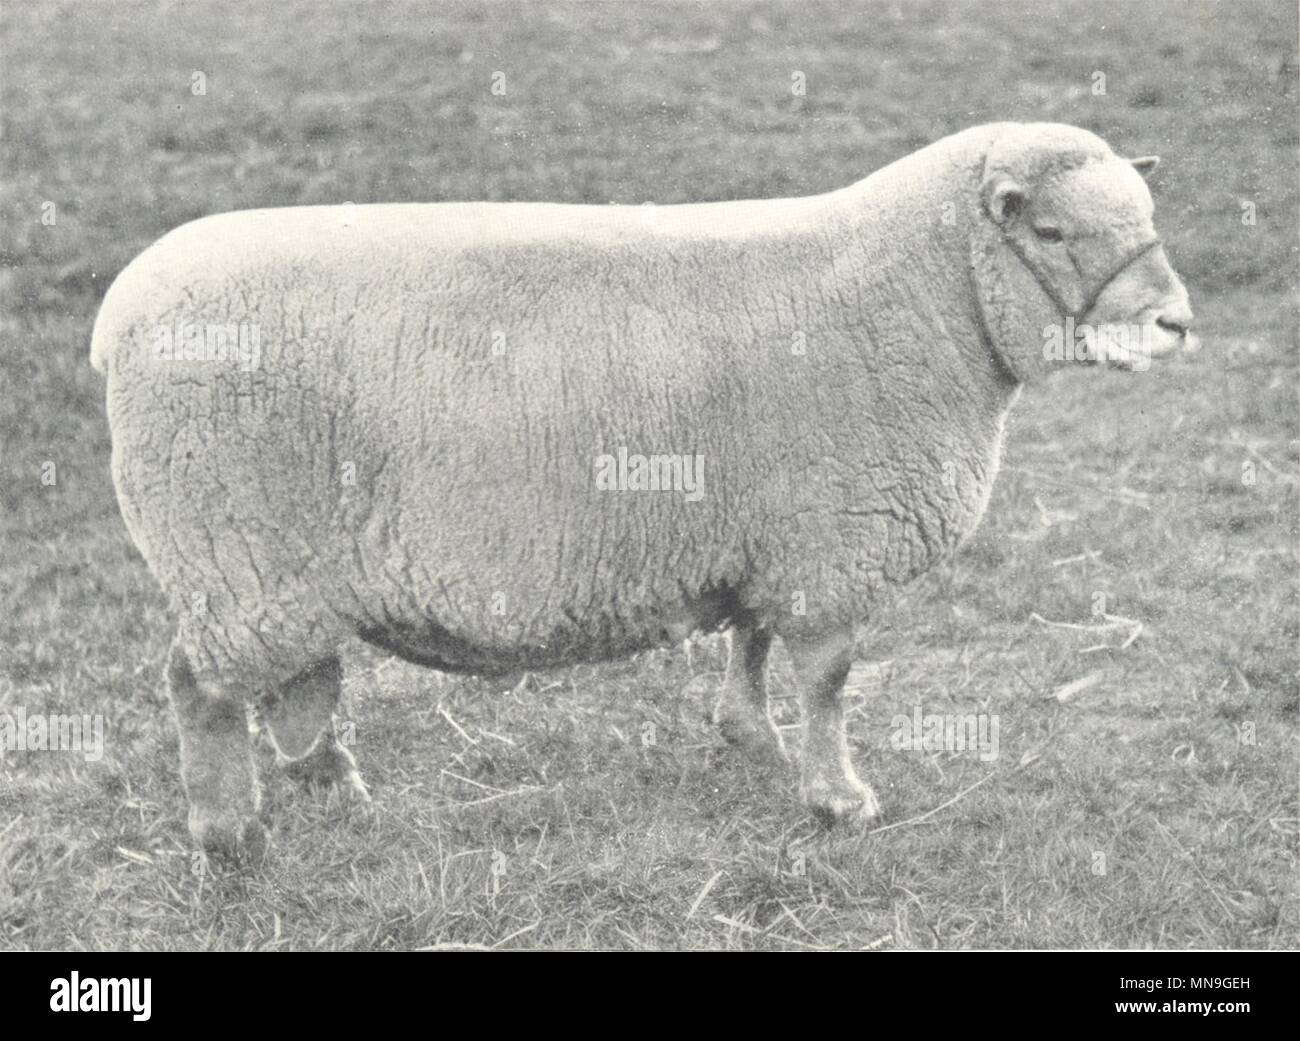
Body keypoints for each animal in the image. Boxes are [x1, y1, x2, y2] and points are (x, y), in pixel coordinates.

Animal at [91, 121, 1194, 860]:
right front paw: (839, 800)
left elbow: (752, 641)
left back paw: (333, 789)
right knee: (198, 686)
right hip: (231, 547)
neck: (923, 294)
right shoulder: (833, 543)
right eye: (1049, 232)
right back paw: (229, 835)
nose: (1177, 323)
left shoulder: (770, 533)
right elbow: (830, 684)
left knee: (297, 681)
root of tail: (120, 314)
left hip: (281, 565)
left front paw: (750, 738)